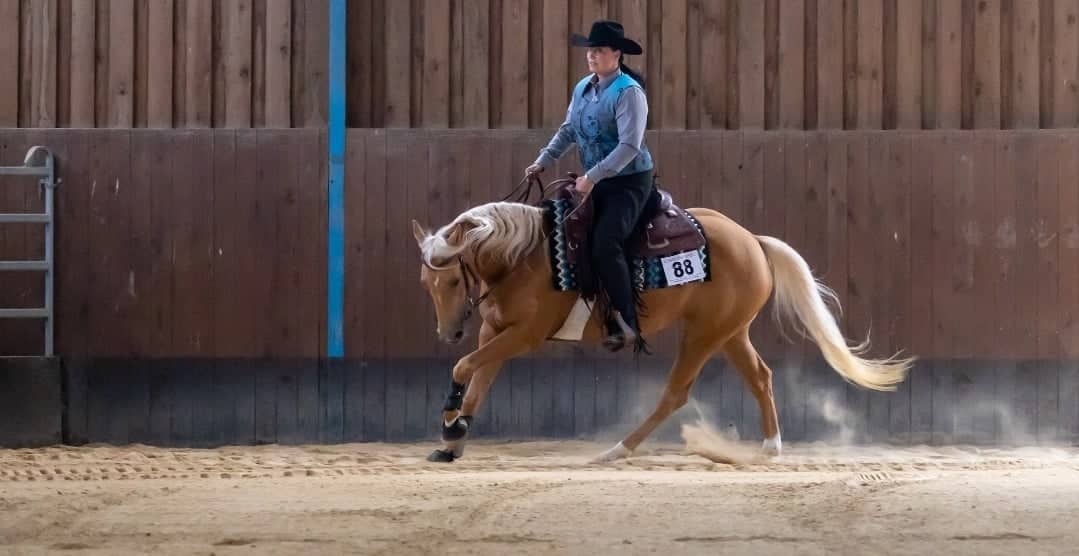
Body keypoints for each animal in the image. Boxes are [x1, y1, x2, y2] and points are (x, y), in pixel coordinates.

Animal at [410, 181, 914, 464]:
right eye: (426, 283)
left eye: (451, 279)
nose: (447, 333)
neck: (528, 257)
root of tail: (752, 239)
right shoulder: (493, 331)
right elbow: (478, 382)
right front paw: (453, 440)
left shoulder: (524, 336)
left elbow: (464, 368)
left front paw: (450, 423)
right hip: (731, 333)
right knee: (760, 377)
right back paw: (771, 446)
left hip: (704, 335)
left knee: (676, 394)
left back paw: (618, 450)